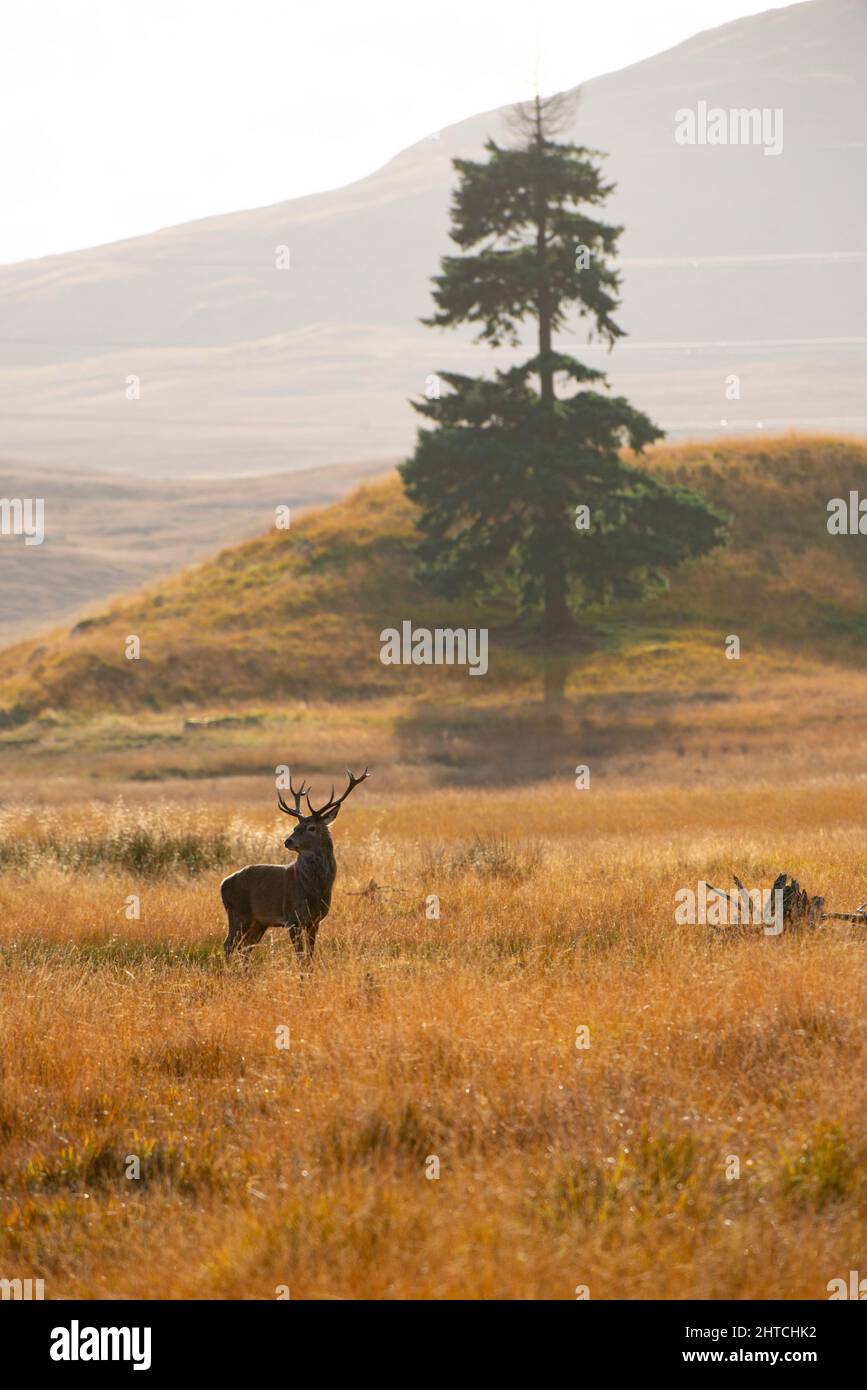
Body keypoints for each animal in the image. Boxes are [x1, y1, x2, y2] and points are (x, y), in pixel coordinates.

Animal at [220, 768, 370, 963]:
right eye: (295, 827)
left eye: (311, 828)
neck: (314, 889)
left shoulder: (315, 920)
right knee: (228, 945)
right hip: (237, 913)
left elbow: (310, 955)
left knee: (245, 949)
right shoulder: (293, 918)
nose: (288, 841)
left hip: (258, 922)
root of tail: (223, 884)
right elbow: (300, 956)